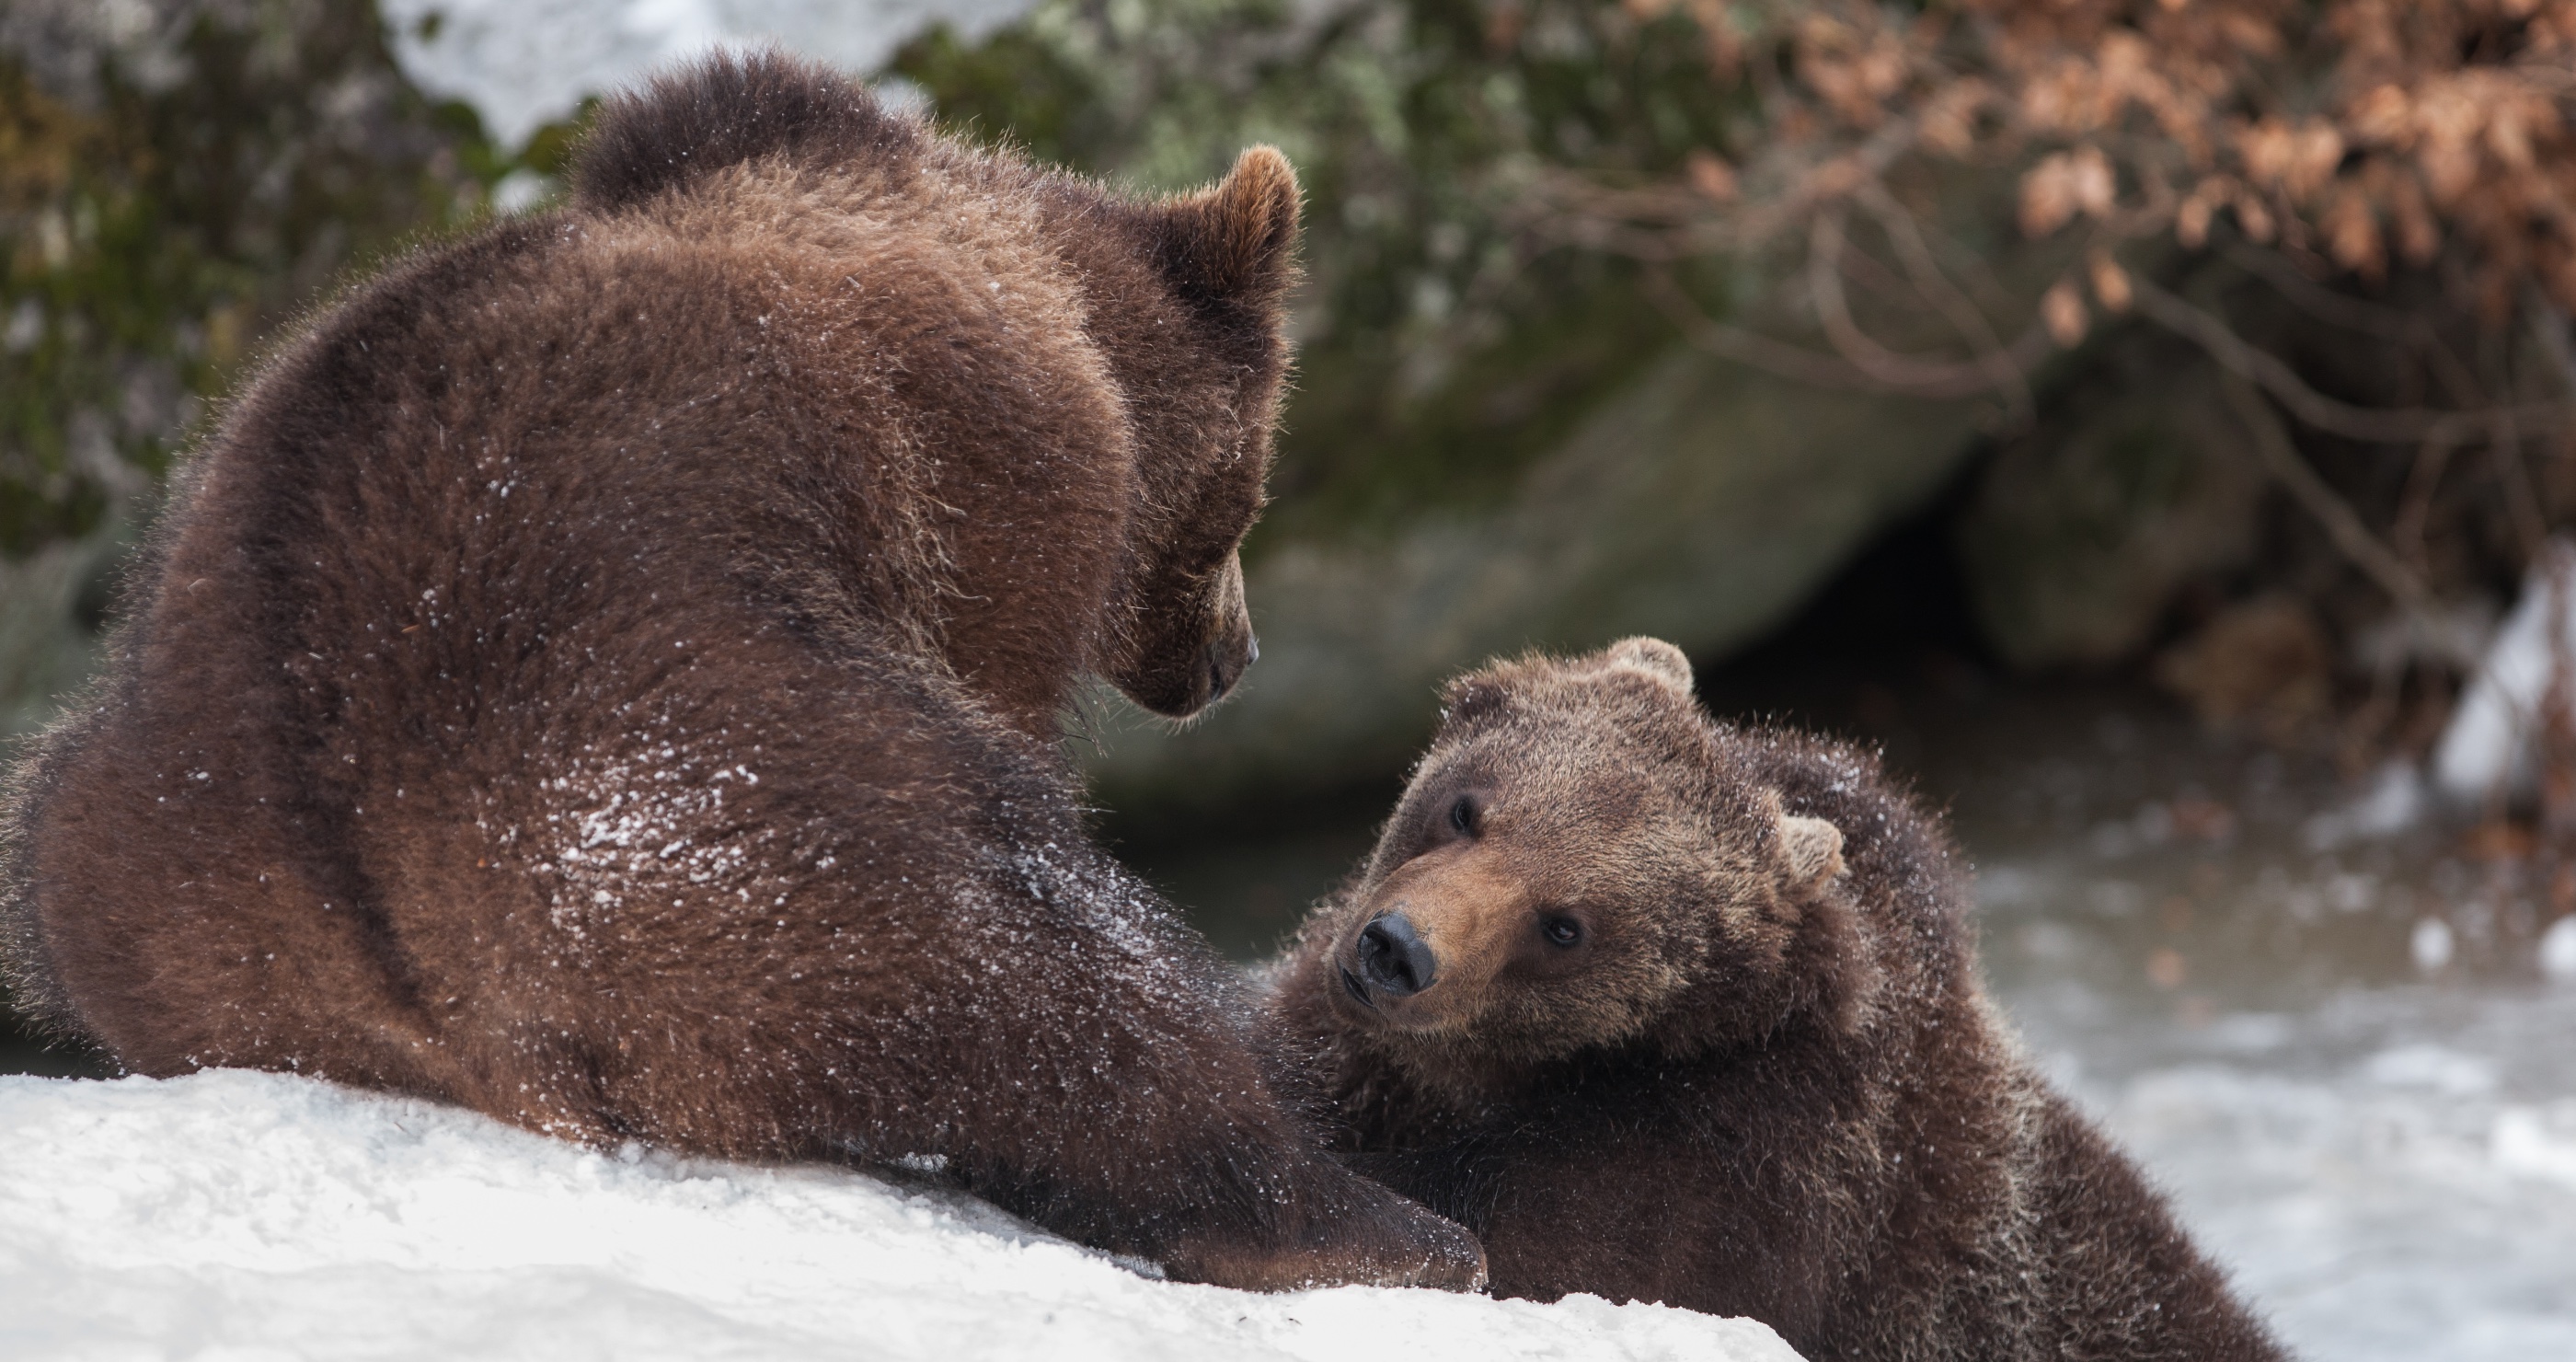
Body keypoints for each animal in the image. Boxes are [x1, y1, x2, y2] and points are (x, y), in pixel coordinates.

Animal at [0, 50, 1483, 1294]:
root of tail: (430, 1001)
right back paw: (1390, 1226)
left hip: (130, 862)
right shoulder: (988, 487)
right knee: (1027, 956)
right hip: (706, 784)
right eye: (1254, 487)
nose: (1234, 657)